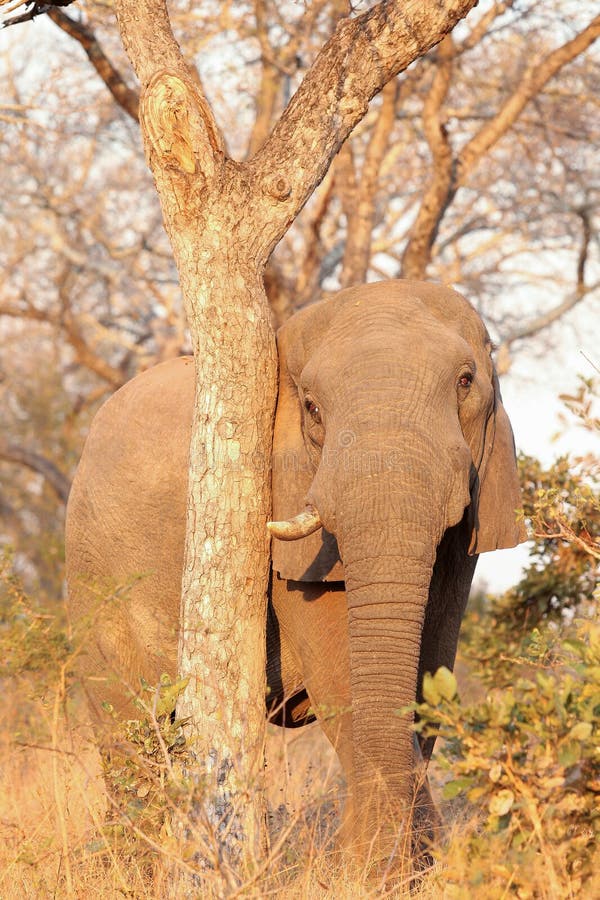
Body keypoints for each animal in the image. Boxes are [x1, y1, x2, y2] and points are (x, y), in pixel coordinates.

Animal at [65, 279, 525, 872]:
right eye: (312, 408)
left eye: (466, 382)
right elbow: (342, 679)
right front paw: (371, 870)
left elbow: (430, 674)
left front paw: (404, 868)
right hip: (92, 581)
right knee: (130, 734)